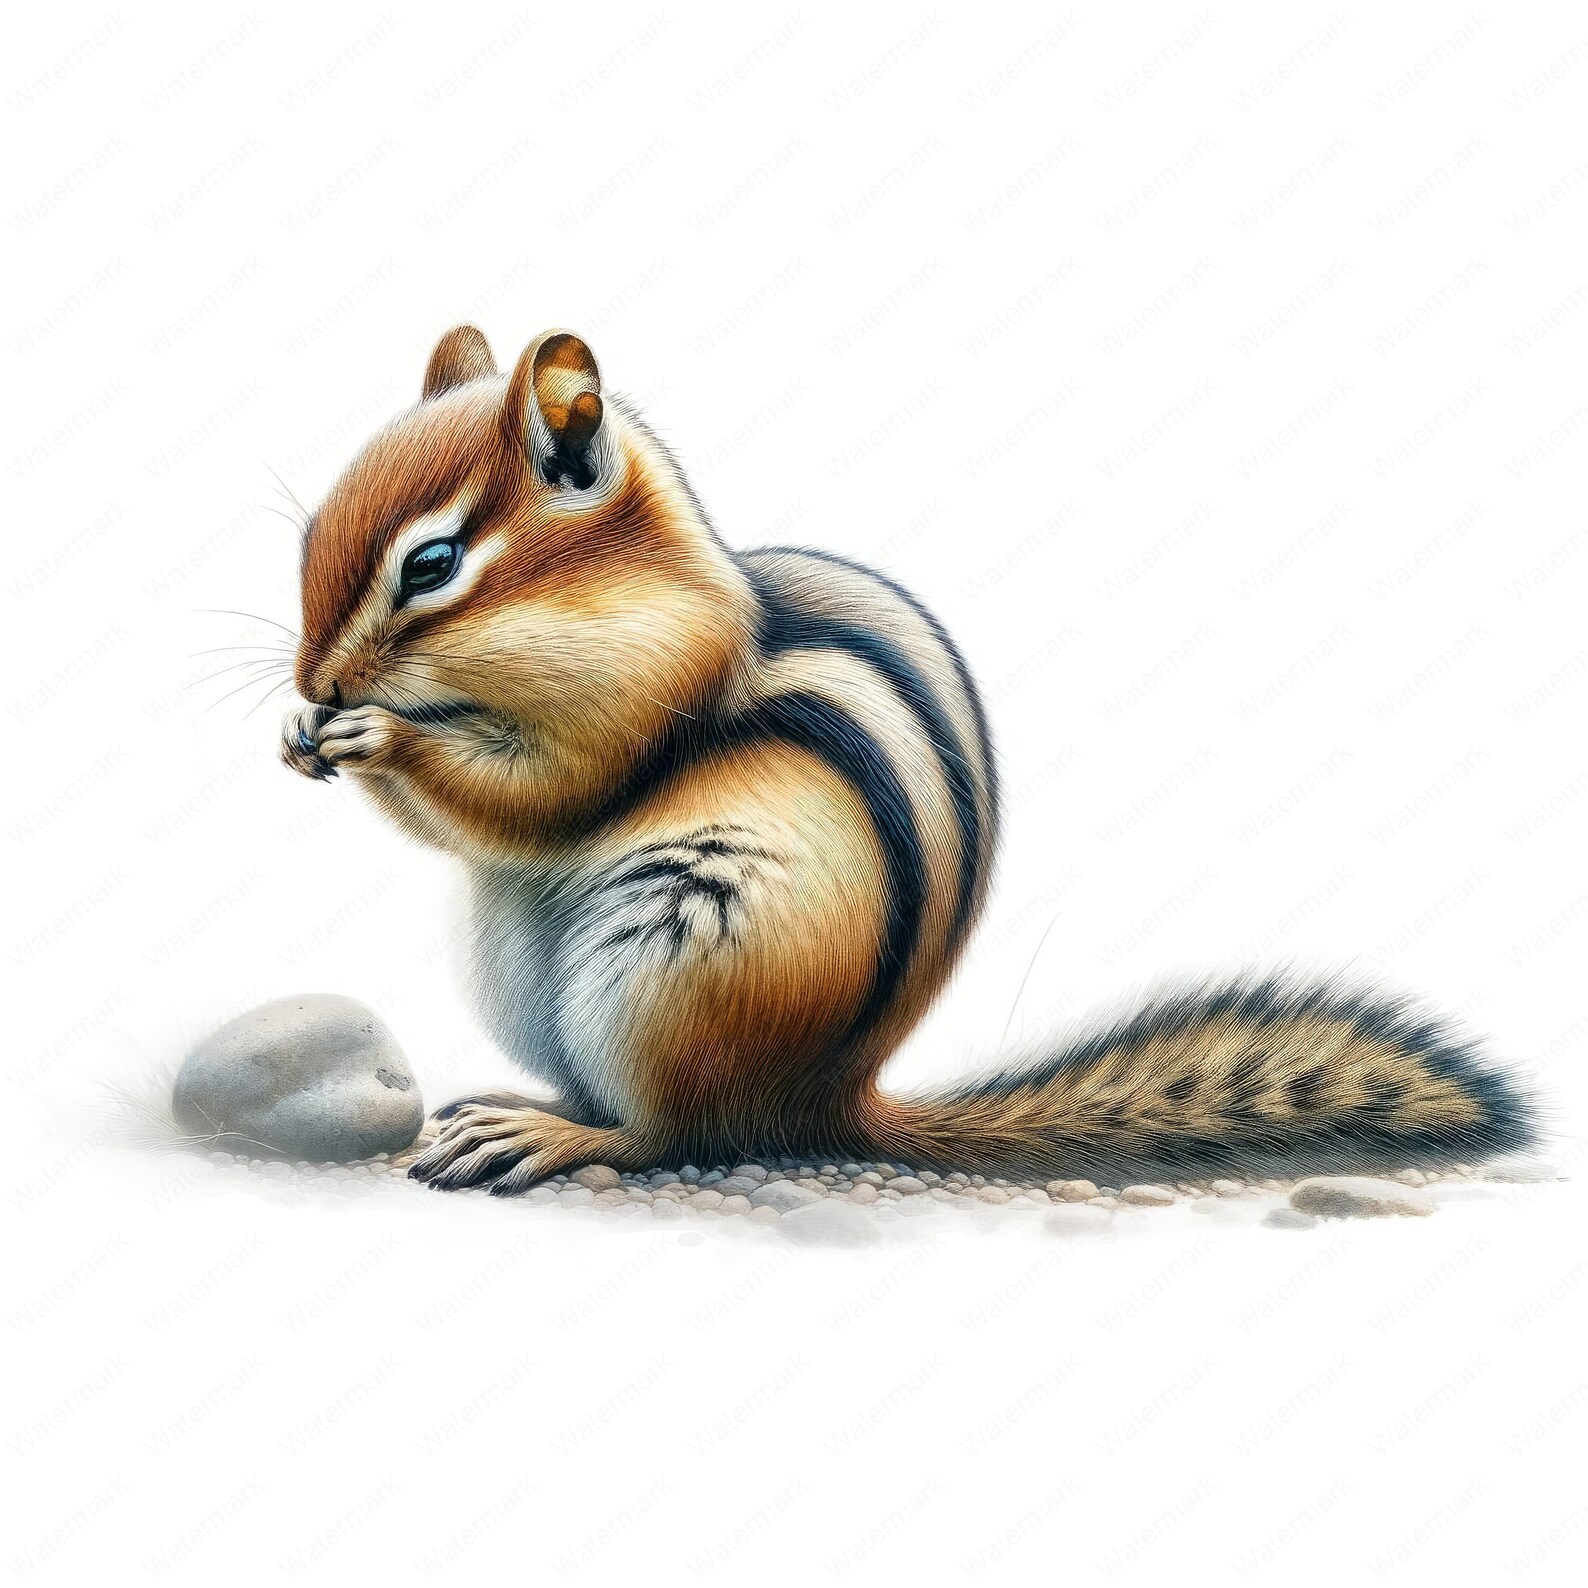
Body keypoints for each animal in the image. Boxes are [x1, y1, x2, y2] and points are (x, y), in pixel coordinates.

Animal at [279, 324, 1534, 1194]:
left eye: (433, 564)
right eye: (309, 536)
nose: (316, 685)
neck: (632, 592)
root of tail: (826, 1101)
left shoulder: (655, 691)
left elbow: (544, 798)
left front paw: (379, 734)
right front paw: (300, 734)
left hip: (681, 956)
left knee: (674, 1131)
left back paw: (555, 1131)